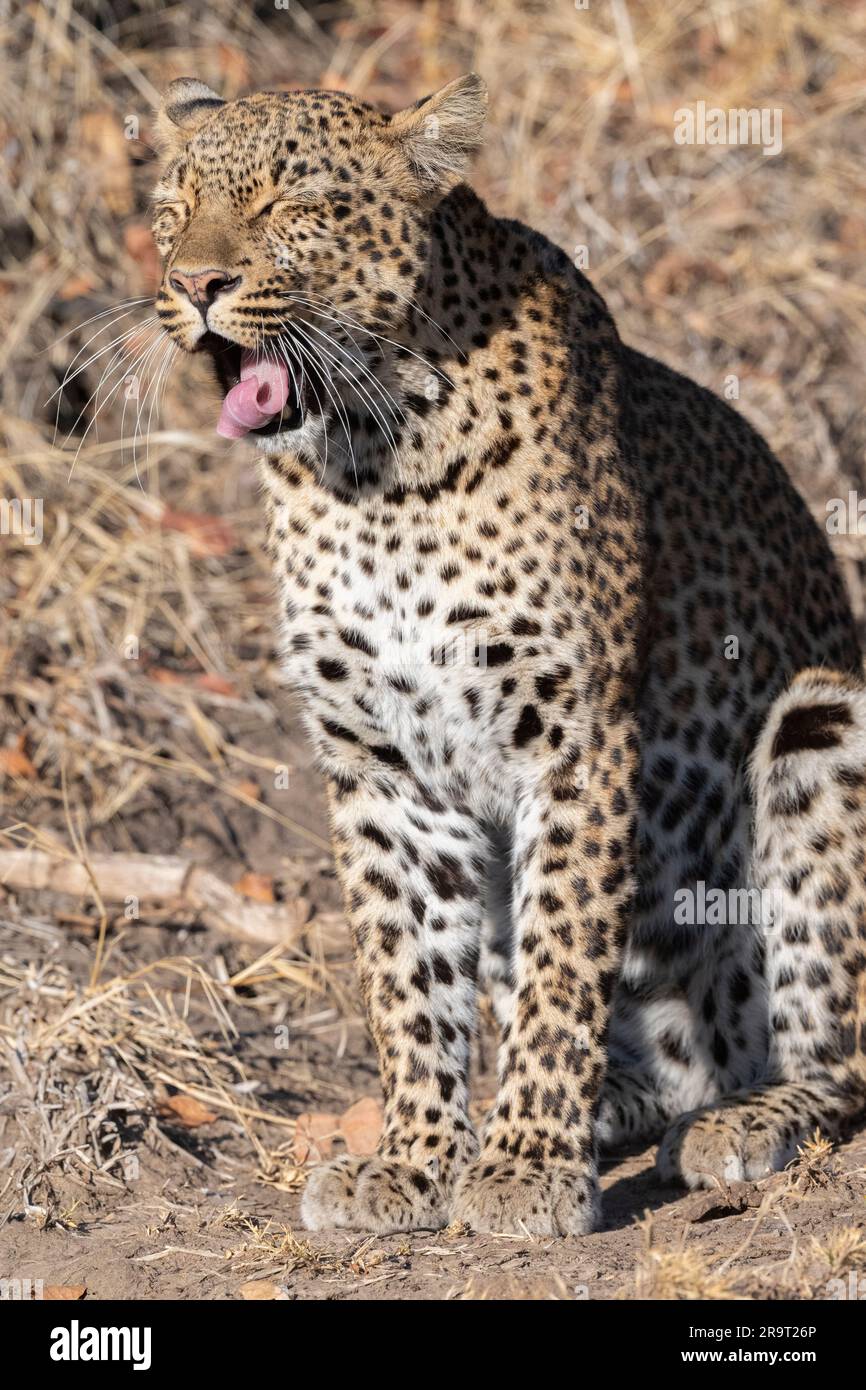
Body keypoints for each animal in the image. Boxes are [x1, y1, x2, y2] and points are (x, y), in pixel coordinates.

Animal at [150, 73, 866, 1236]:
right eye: (173, 209)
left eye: (288, 204)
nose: (192, 283)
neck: (369, 470)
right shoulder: (380, 766)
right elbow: (406, 974)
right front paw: (412, 1160)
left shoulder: (576, 742)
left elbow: (561, 965)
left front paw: (527, 1163)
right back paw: (617, 1103)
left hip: (823, 719)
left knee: (833, 1062)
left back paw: (737, 1122)